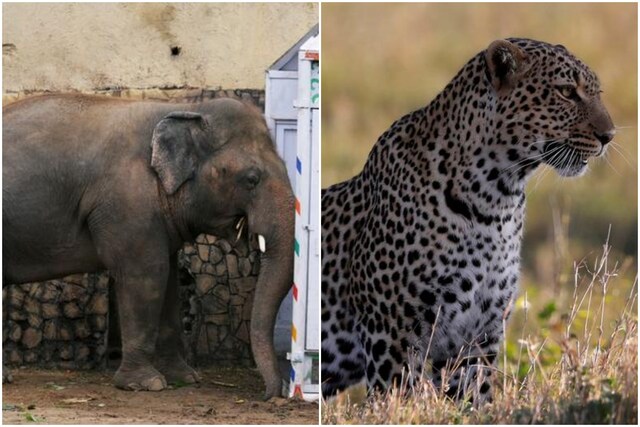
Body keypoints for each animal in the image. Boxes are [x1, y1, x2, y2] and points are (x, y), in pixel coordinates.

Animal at [3, 94, 295, 399]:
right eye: (251, 179)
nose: (269, 395)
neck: (187, 109)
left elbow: (169, 281)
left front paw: (185, 378)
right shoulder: (128, 203)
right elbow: (147, 274)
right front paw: (146, 384)